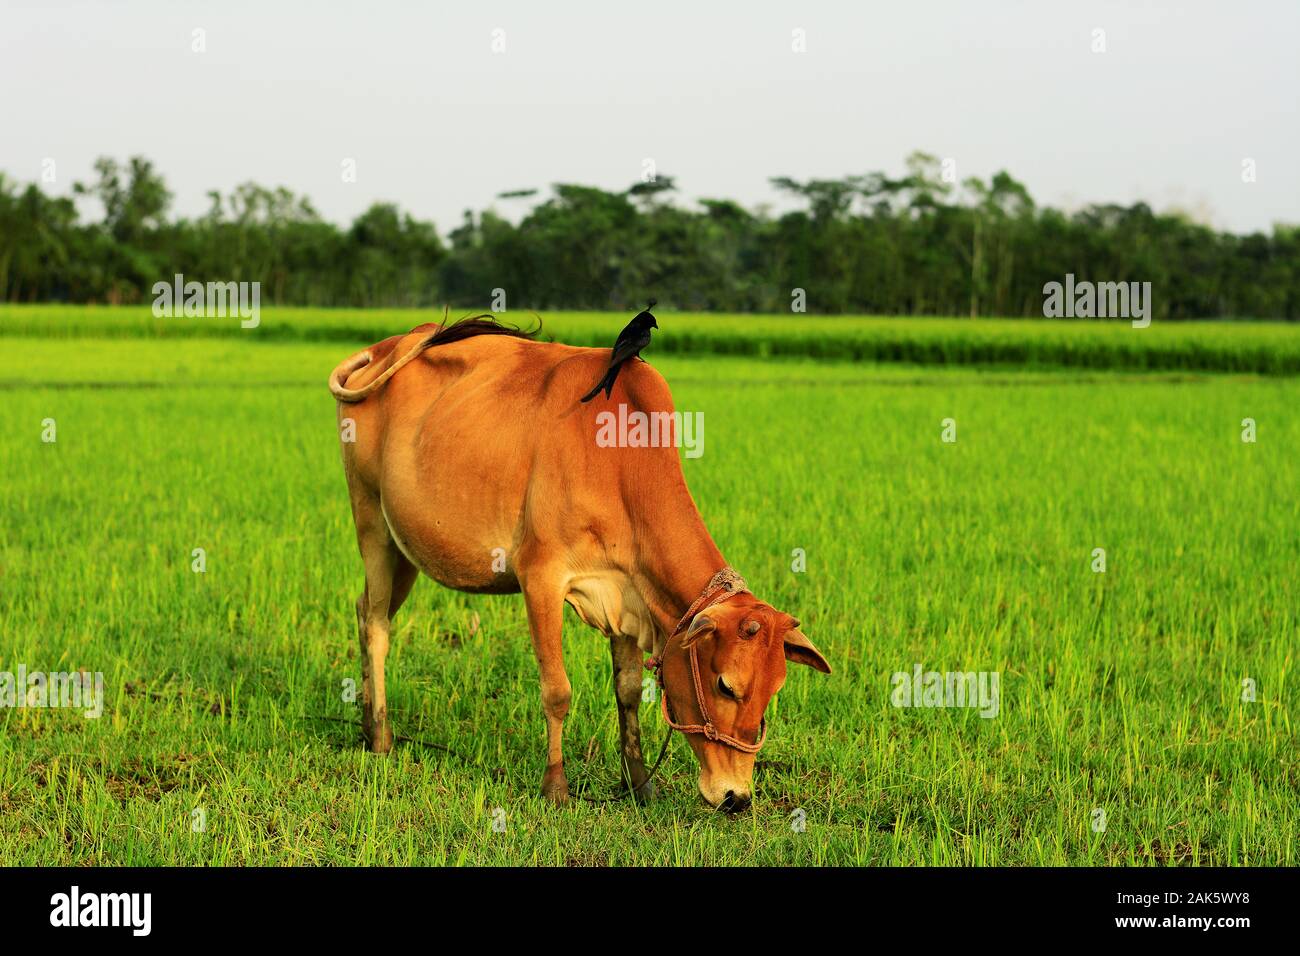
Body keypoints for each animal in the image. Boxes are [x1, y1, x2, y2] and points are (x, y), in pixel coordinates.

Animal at [329, 317, 830, 811]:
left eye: (774, 691)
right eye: (725, 685)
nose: (736, 797)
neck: (622, 462)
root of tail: (385, 346)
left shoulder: (627, 592)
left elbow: (629, 690)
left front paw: (639, 783)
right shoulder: (541, 577)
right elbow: (557, 691)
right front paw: (556, 786)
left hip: (405, 549)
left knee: (363, 609)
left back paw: (366, 725)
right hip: (371, 523)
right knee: (377, 625)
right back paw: (381, 736)